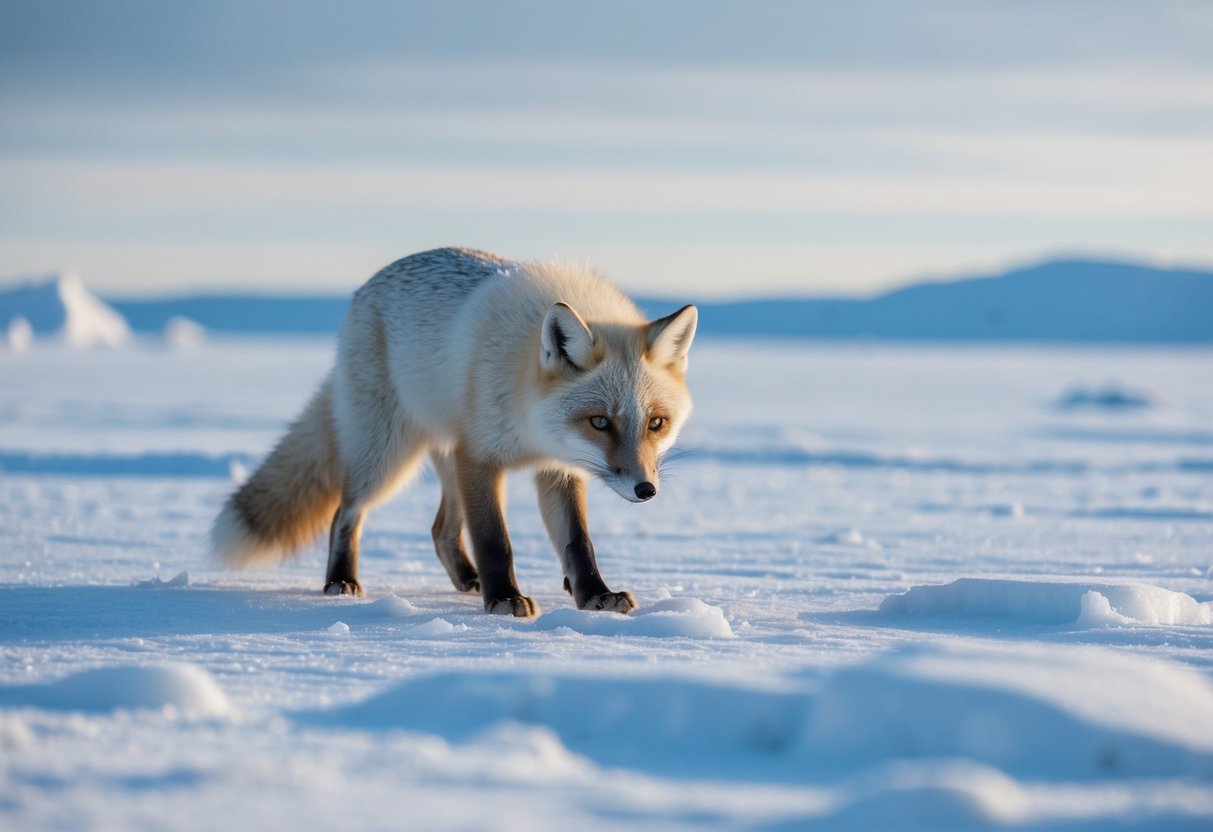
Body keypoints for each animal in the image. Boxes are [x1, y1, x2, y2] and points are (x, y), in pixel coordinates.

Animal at [210, 247, 697, 619]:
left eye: (656, 423)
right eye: (600, 422)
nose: (646, 489)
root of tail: (365, 289)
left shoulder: (558, 469)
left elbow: (578, 542)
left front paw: (595, 594)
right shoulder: (479, 457)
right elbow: (495, 541)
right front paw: (504, 599)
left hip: (445, 462)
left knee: (440, 530)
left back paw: (467, 579)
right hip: (389, 455)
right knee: (345, 513)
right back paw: (342, 581)